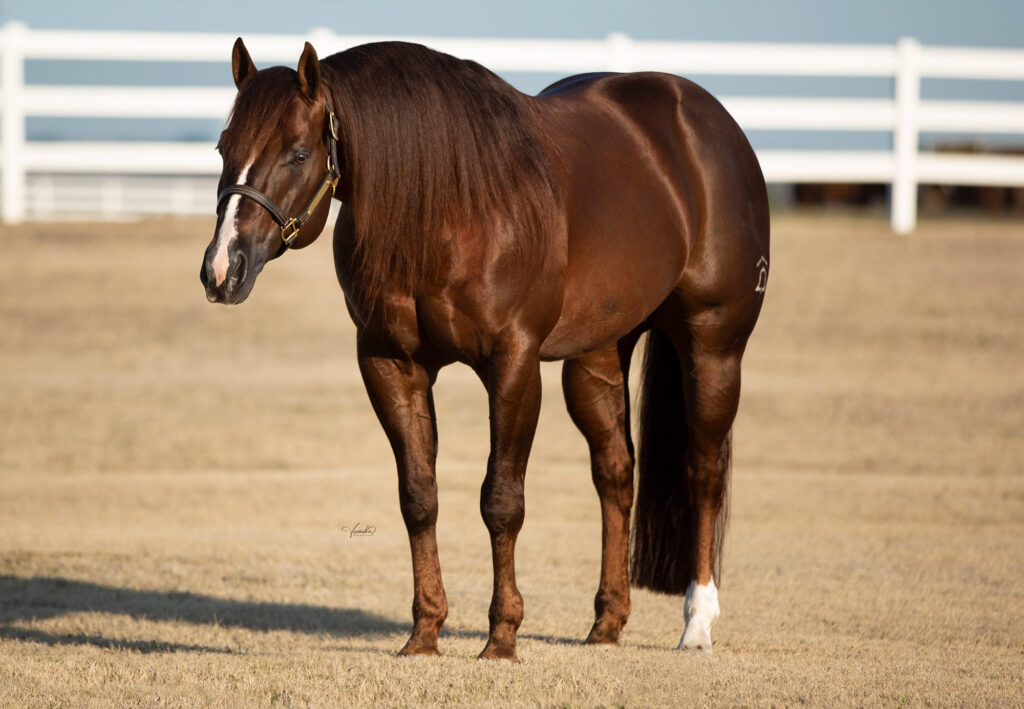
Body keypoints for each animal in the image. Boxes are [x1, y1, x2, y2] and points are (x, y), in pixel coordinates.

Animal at [200, 37, 769, 661]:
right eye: (224, 147)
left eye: (299, 154)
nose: (222, 270)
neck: (446, 207)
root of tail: (708, 121)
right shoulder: (389, 363)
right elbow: (418, 495)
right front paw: (424, 633)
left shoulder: (513, 364)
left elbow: (501, 500)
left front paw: (501, 637)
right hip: (596, 357)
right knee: (616, 474)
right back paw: (606, 623)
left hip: (713, 347)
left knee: (703, 471)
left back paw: (697, 624)